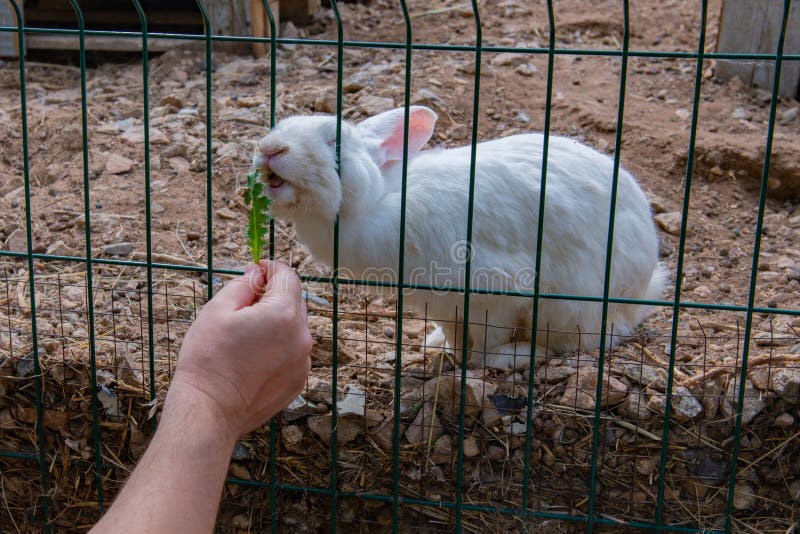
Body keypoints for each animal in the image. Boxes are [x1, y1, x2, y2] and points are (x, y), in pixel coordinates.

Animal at [253, 106, 666, 370]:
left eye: (334, 143)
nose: (270, 148)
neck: (374, 203)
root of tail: (639, 290)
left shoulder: (493, 296)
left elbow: (485, 342)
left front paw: (480, 363)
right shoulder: (443, 305)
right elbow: (455, 333)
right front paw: (446, 348)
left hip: (568, 309)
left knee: (584, 342)